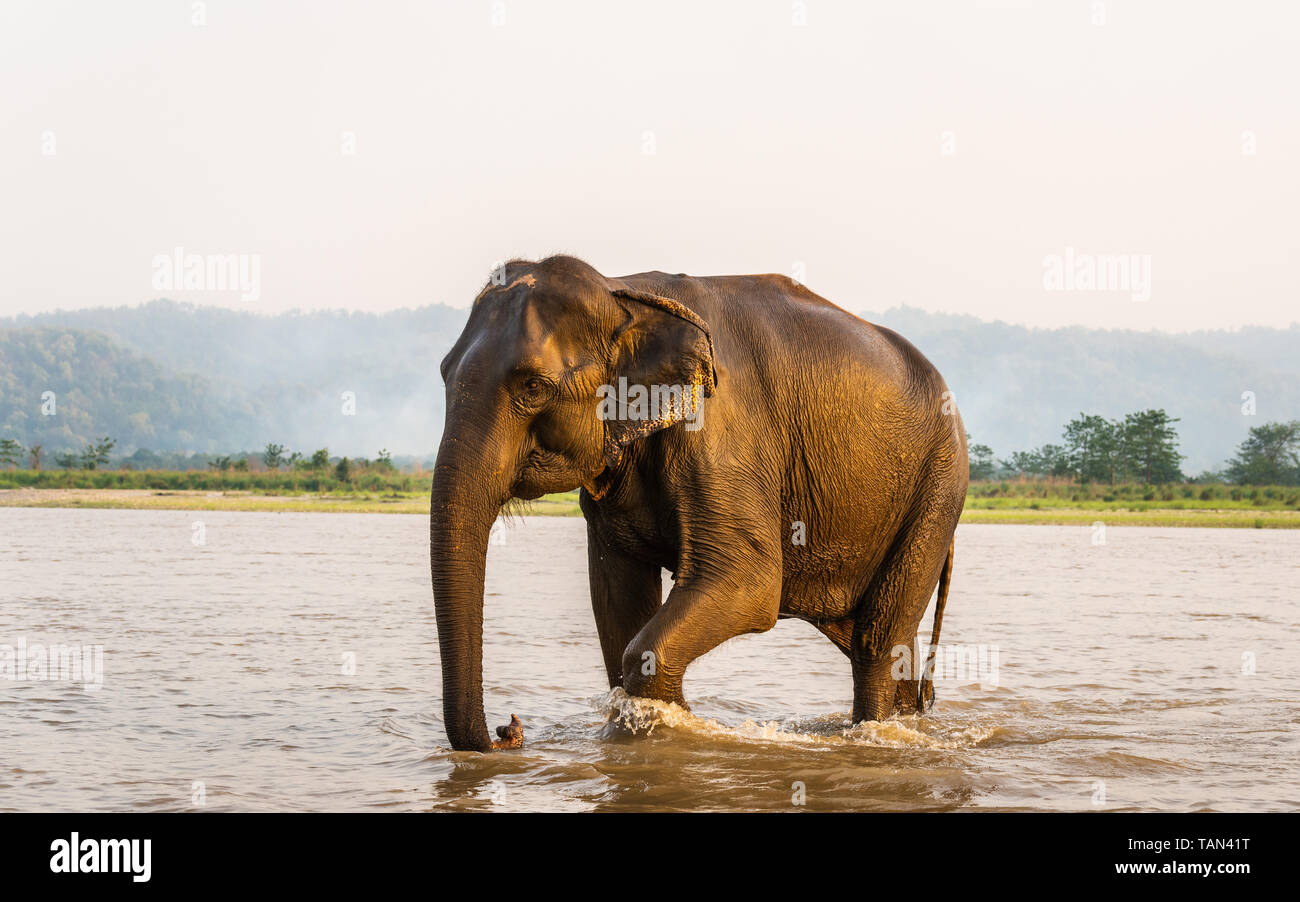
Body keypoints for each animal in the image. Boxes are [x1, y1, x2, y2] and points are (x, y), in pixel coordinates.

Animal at [431, 255, 967, 751]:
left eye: (533, 386)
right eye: (443, 373)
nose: (509, 728)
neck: (621, 293)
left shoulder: (722, 430)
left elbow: (746, 583)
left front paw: (670, 724)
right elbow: (617, 601)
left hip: (939, 489)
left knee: (876, 643)